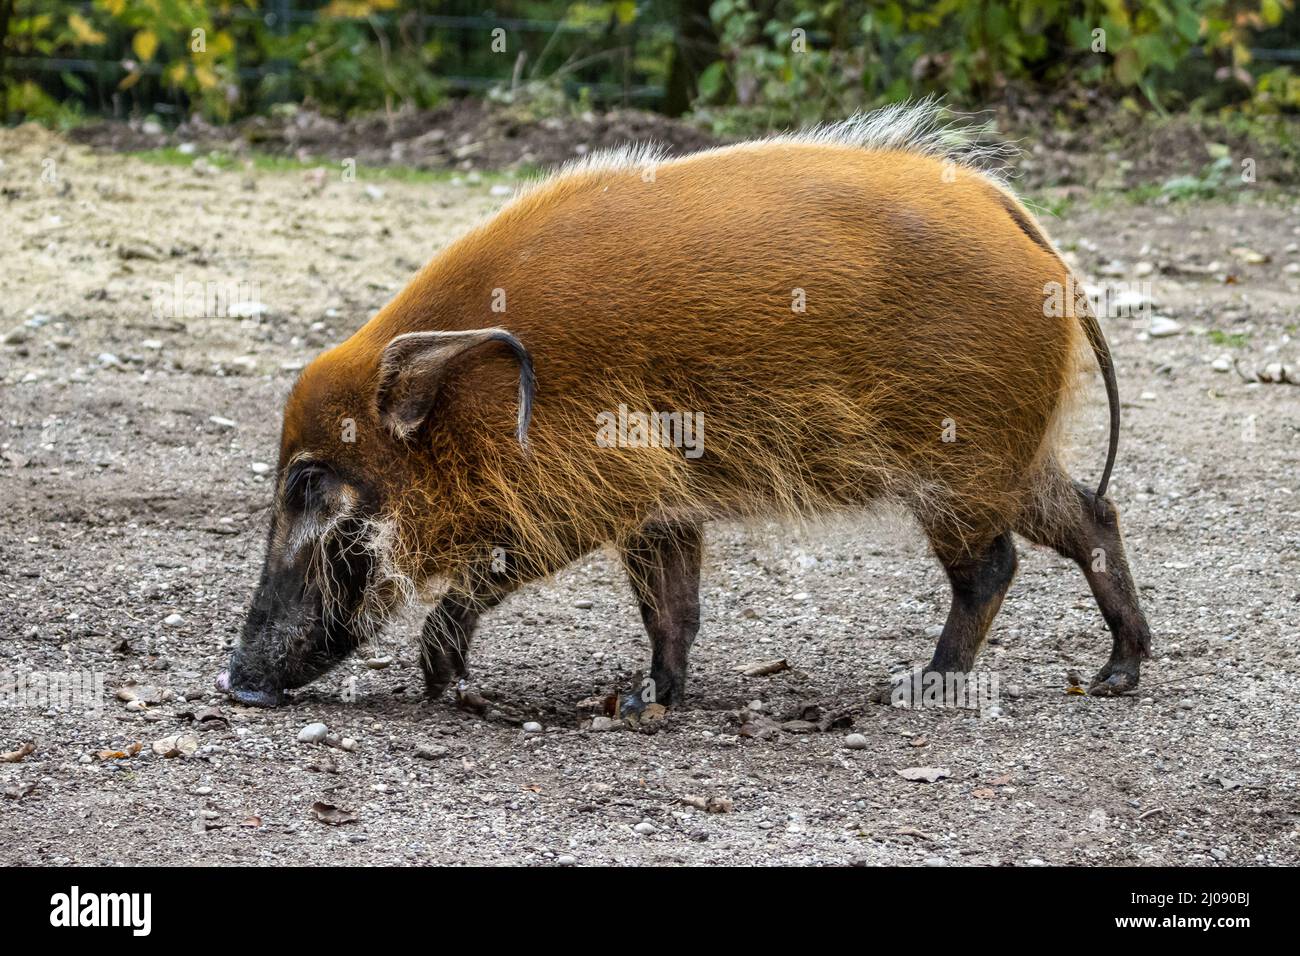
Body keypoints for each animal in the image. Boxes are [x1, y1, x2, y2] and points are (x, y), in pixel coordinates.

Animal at [218, 100, 1151, 710]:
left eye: (307, 482)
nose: (237, 682)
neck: (472, 398)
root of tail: (1024, 225)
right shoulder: (660, 500)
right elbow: (672, 606)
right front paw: (647, 699)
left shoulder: (582, 489)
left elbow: (498, 573)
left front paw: (446, 684)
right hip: (1008, 455)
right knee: (1092, 517)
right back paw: (1118, 673)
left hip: (958, 461)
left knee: (995, 564)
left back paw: (923, 687)